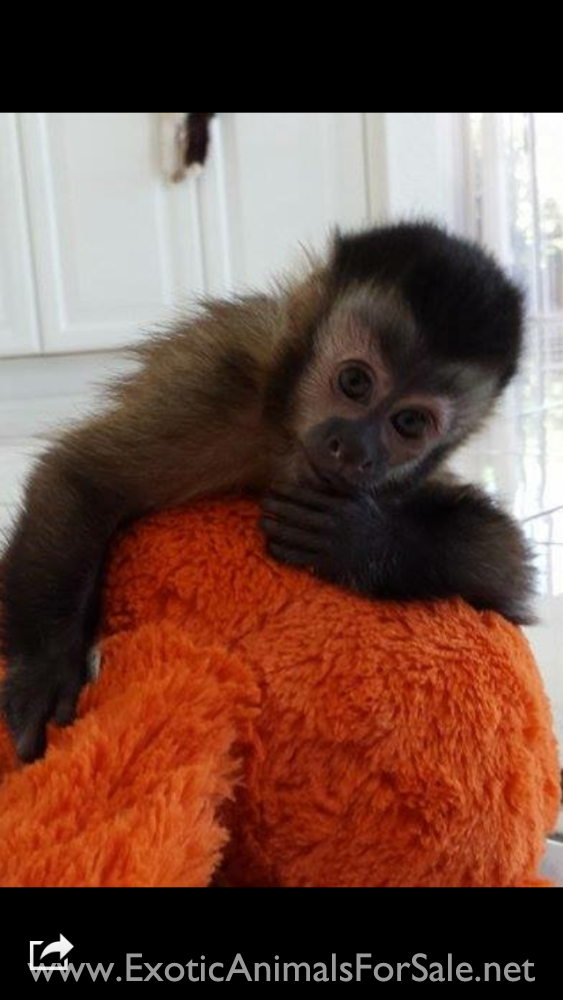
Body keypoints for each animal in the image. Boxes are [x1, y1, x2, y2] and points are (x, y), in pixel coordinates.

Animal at [0, 222, 534, 764]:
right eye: (354, 381)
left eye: (409, 423)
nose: (354, 450)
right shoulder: (217, 384)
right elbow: (82, 478)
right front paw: (46, 668)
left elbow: (506, 566)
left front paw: (361, 538)